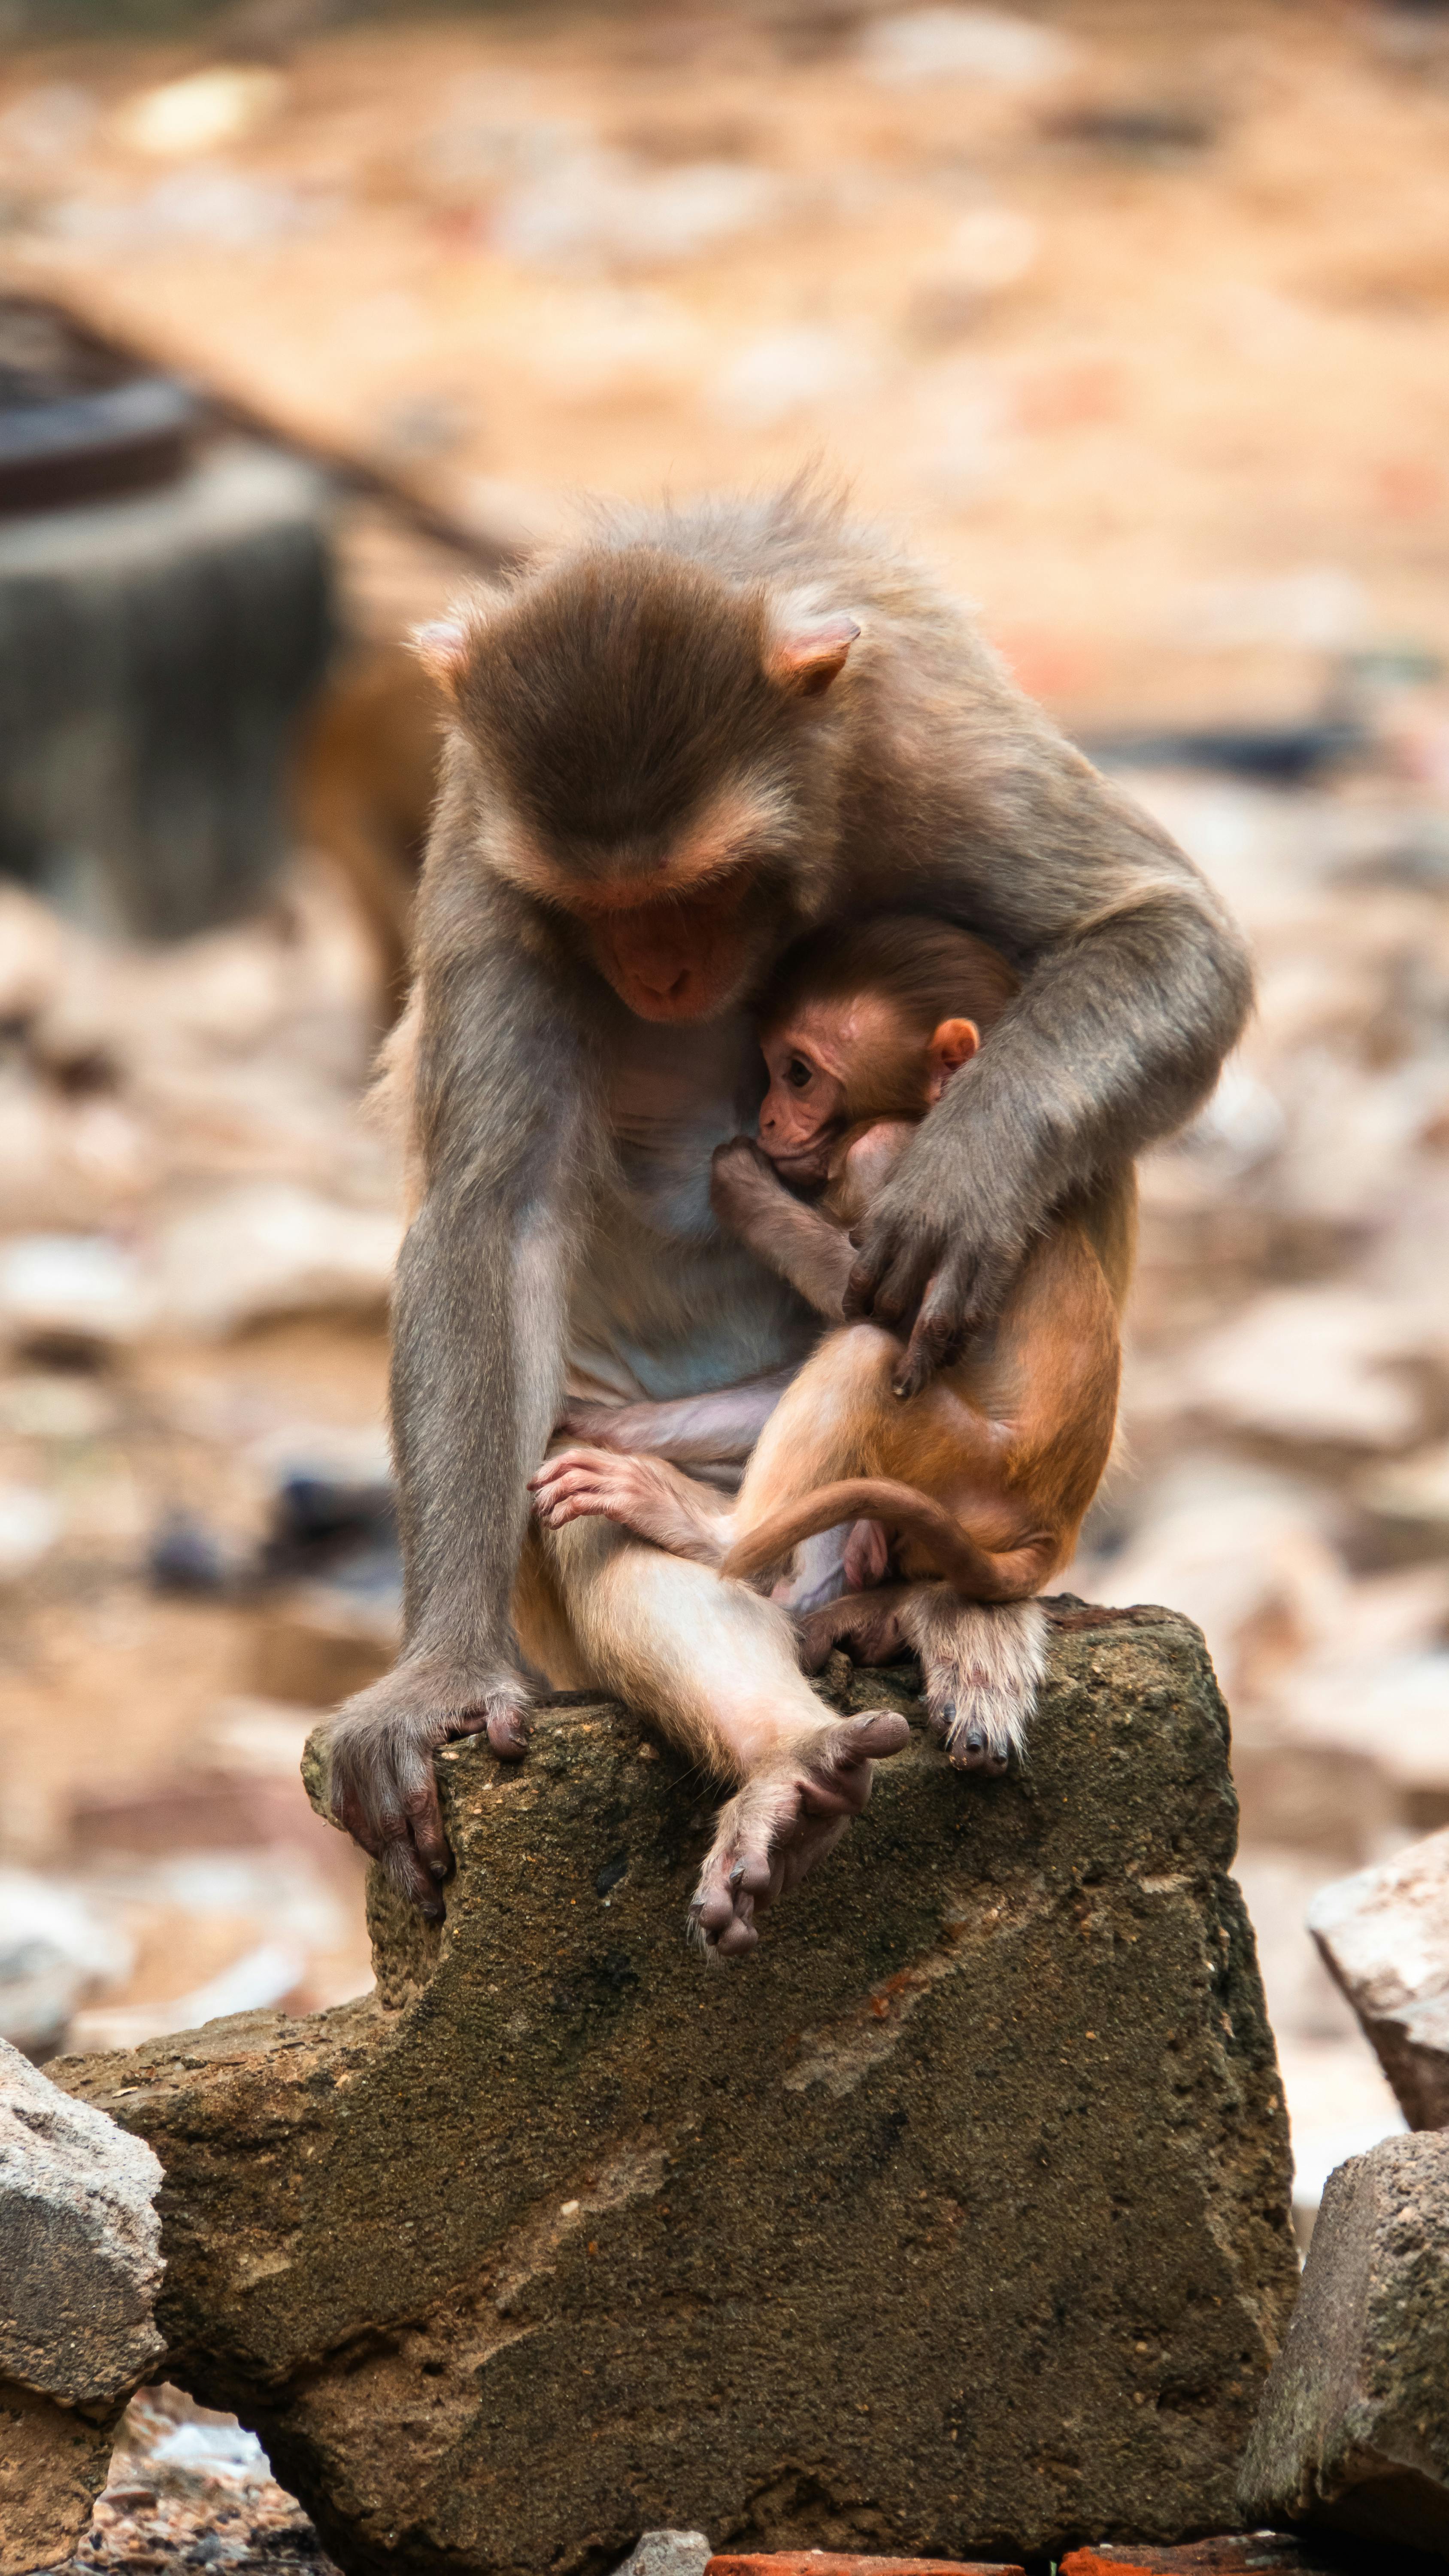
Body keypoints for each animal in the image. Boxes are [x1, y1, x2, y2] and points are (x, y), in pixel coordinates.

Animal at [530, 913, 1132, 1775]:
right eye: (775, 1071)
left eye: (799, 1074)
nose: (768, 1120)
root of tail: (1053, 1530)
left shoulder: (885, 1157)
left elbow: (879, 1305)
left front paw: (741, 1184)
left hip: (972, 1471)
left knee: (867, 1354)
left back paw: (720, 1541)